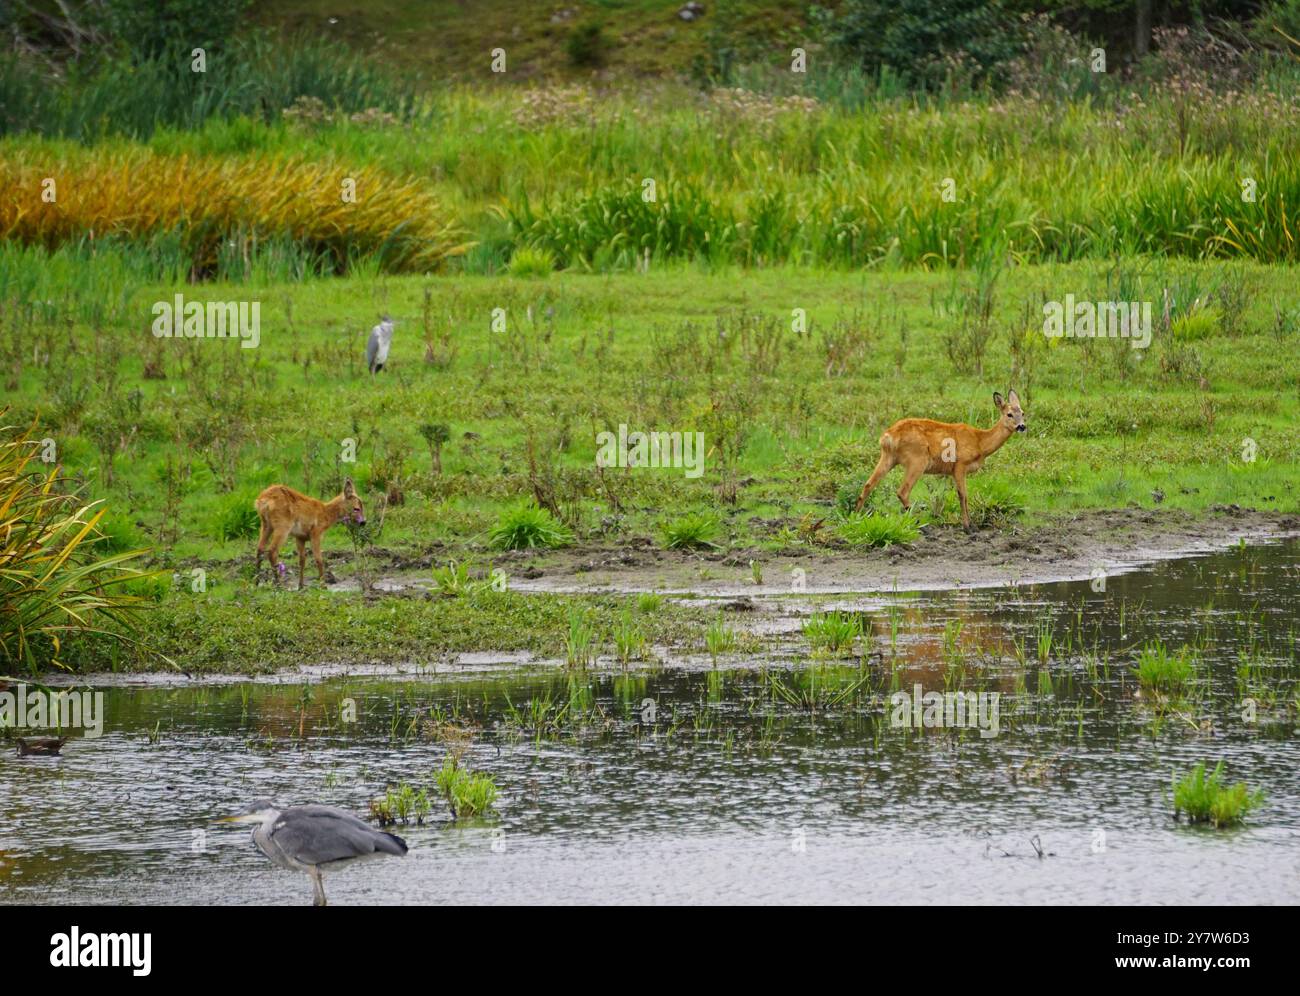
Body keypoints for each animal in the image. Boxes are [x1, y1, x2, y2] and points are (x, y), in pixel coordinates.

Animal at [853, 390, 1026, 533]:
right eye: (1009, 414)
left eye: (1023, 413)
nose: (1022, 426)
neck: (980, 442)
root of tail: (888, 436)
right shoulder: (960, 465)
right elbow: (963, 495)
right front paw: (968, 527)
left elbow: (965, 495)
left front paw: (971, 526)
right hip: (917, 460)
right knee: (902, 491)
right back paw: (922, 526)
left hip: (889, 457)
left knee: (868, 484)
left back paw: (856, 517)